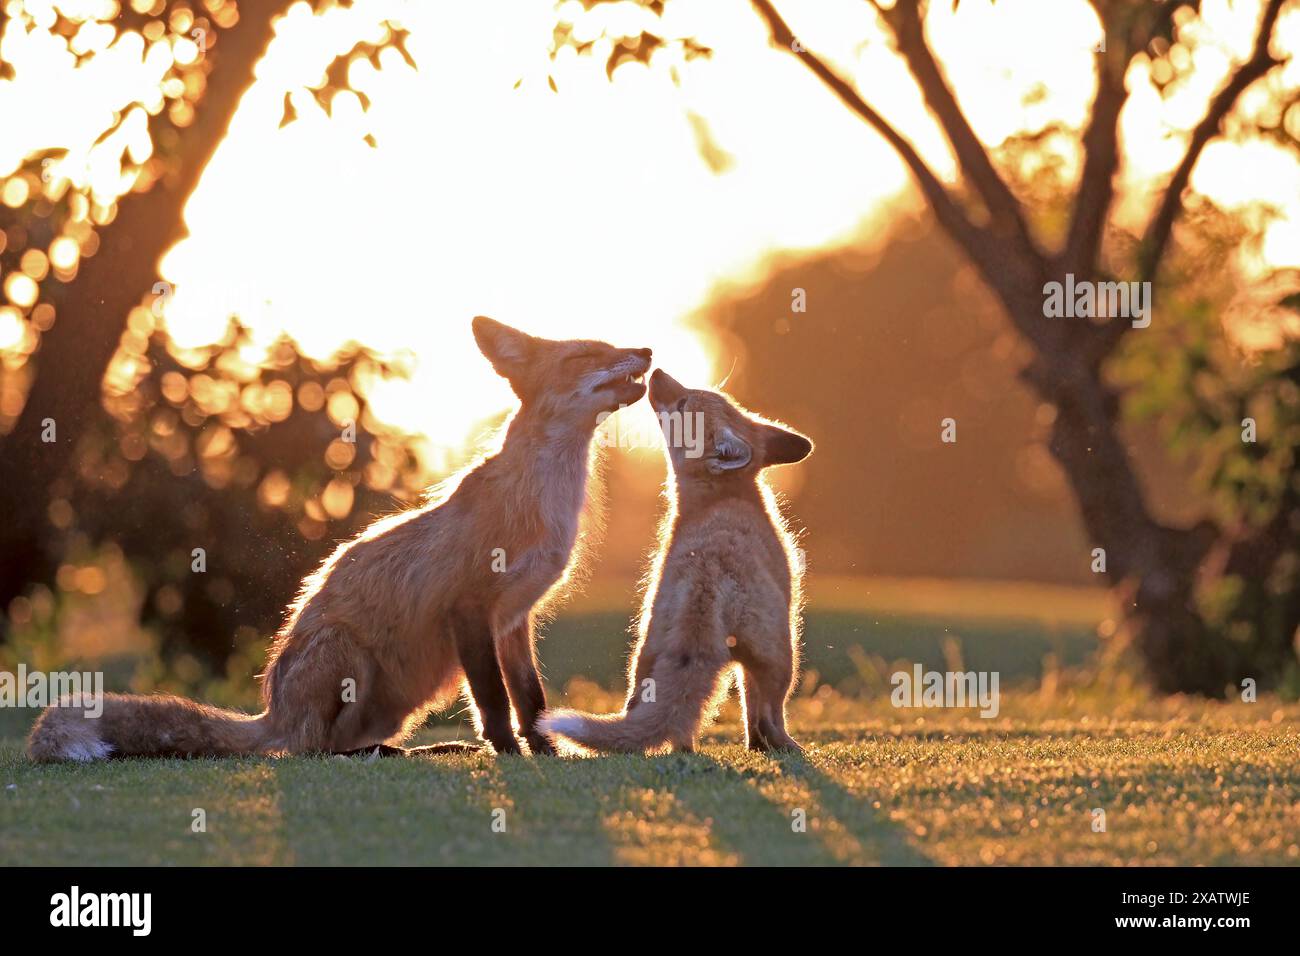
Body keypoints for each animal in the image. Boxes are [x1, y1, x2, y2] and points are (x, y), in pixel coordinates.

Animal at [27, 317, 652, 762]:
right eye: (585, 355)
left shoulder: (515, 617)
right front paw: (509, 753)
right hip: (347, 654)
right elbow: (495, 701)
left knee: (340, 742)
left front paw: (546, 750)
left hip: (397, 698)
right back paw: (382, 754)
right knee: (314, 749)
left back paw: (416, 749)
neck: (541, 501)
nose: (646, 351)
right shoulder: (468, 607)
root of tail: (272, 711)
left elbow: (531, 696)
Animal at [538, 368, 813, 755]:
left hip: (644, 648)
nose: (656, 372)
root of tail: (706, 579)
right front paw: (760, 747)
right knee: (769, 714)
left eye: (684, 403)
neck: (723, 498)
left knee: (653, 712)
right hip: (781, 657)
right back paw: (785, 746)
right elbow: (752, 710)